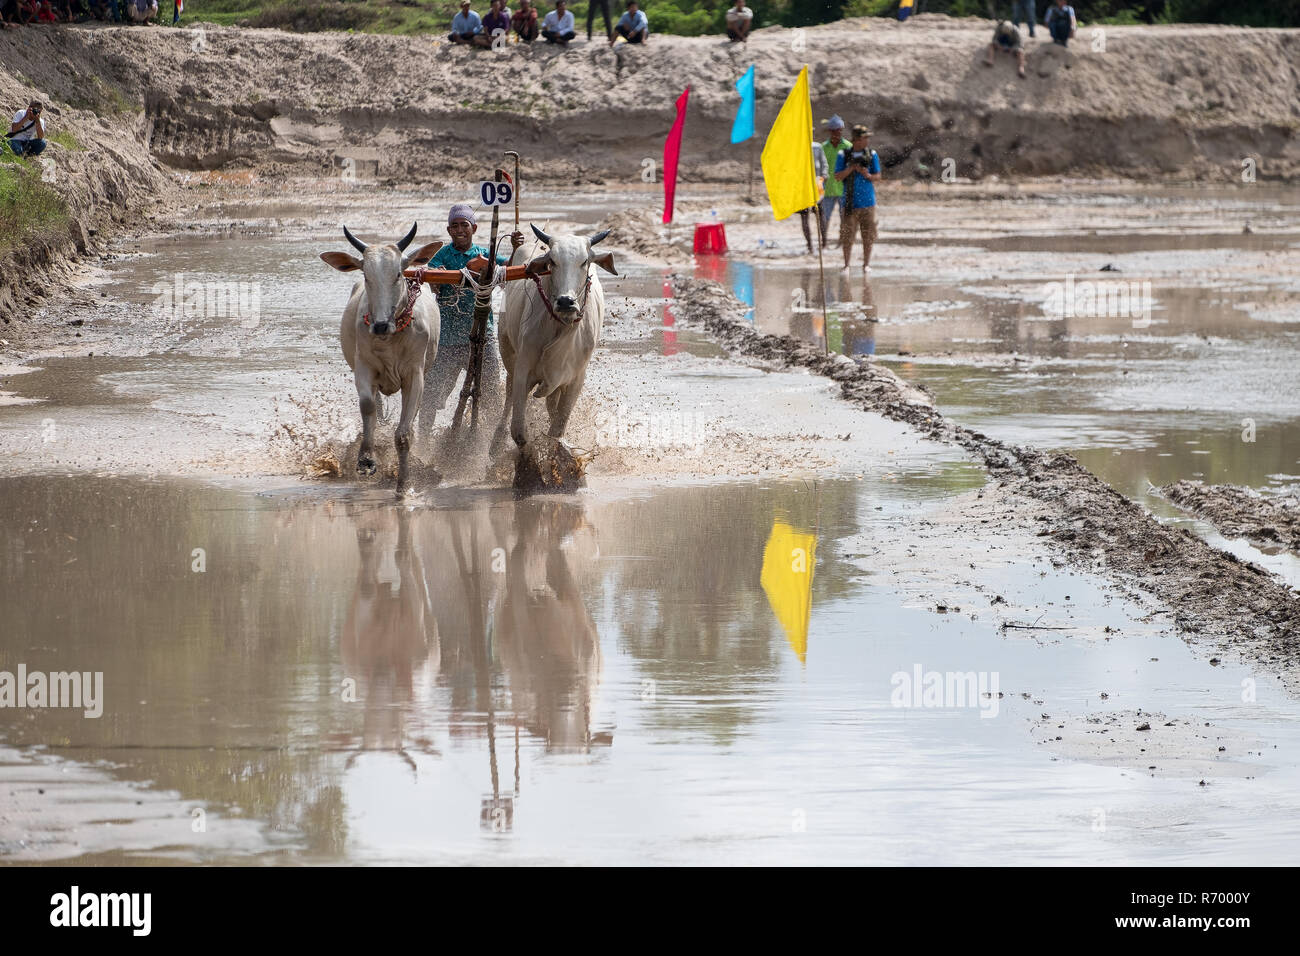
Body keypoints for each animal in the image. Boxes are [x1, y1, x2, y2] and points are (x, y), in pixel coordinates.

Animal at [321, 223, 443, 495]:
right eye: (366, 275)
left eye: (398, 274)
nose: (379, 325)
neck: (390, 337)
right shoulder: (364, 369)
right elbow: (368, 407)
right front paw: (366, 459)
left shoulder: (415, 376)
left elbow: (404, 434)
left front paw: (404, 484)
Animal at [492, 224, 616, 454]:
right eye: (553, 261)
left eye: (584, 261)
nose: (566, 301)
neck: (562, 328)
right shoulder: (523, 370)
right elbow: (519, 432)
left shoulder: (575, 379)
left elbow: (557, 429)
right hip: (507, 351)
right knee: (509, 394)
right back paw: (497, 439)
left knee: (551, 406)